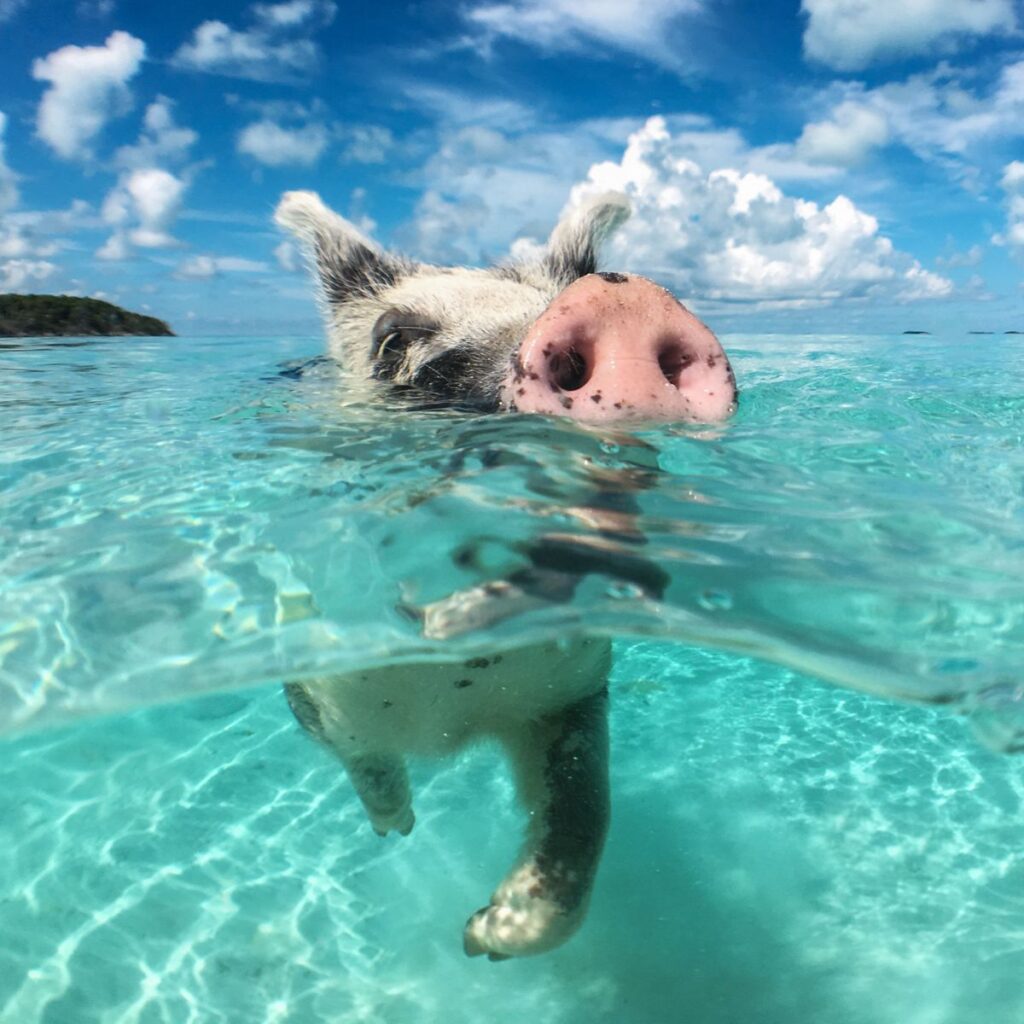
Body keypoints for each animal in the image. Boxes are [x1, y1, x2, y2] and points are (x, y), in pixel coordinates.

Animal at [274, 190, 737, 960]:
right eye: (393, 341)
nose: (623, 299)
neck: (450, 707)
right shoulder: (315, 678)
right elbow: (362, 756)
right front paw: (397, 829)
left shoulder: (572, 693)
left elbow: (586, 806)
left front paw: (483, 936)